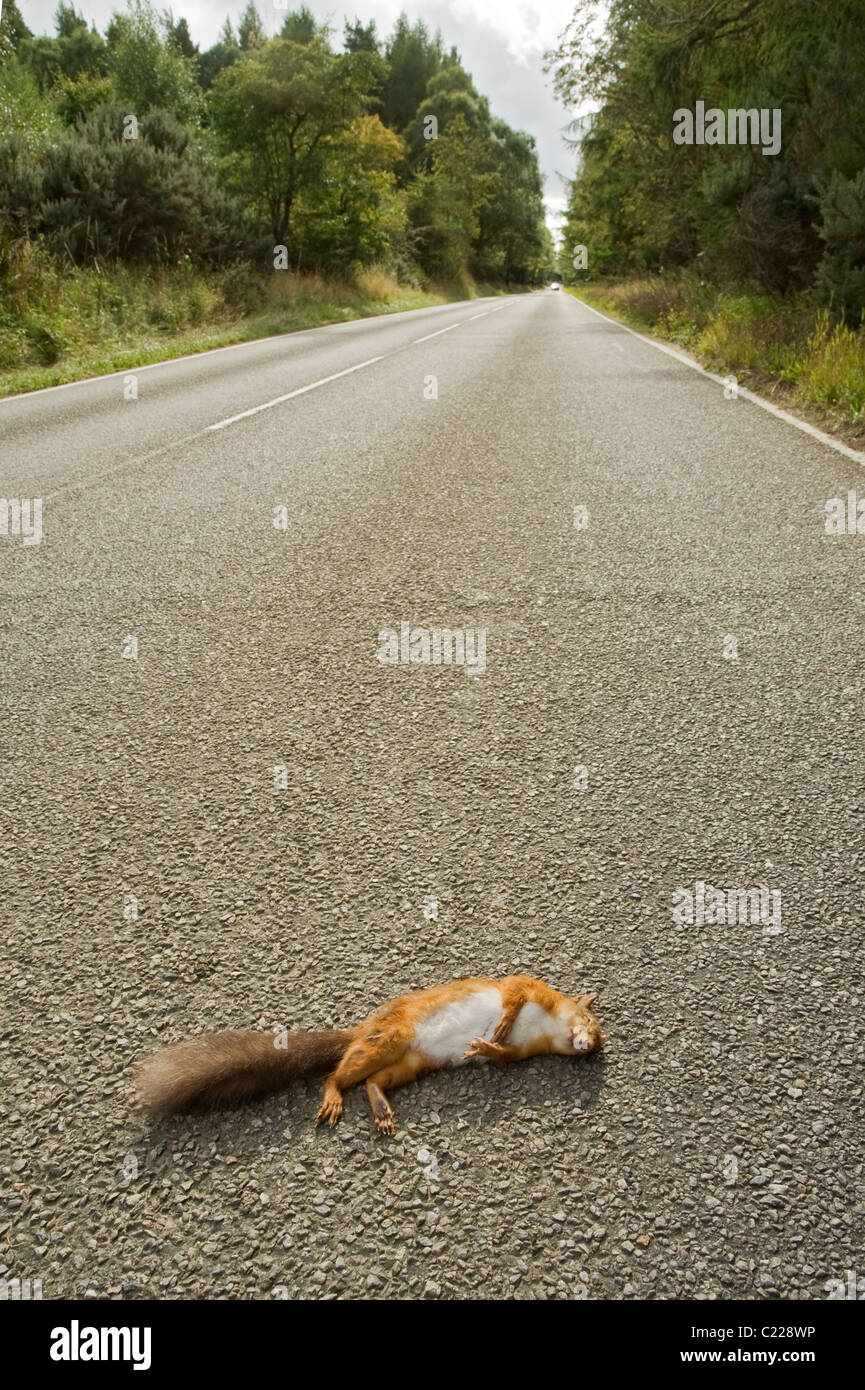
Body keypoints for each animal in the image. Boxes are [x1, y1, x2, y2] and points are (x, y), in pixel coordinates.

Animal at [133, 974, 603, 1134]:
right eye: (591, 1022)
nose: (590, 1048)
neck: (547, 1029)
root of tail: (361, 1031)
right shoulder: (528, 987)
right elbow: (513, 993)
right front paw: (502, 1024)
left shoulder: (520, 1054)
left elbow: (503, 1055)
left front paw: (487, 1045)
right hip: (390, 1039)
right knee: (337, 1075)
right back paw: (332, 1097)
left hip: (409, 1063)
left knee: (374, 1082)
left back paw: (380, 1107)